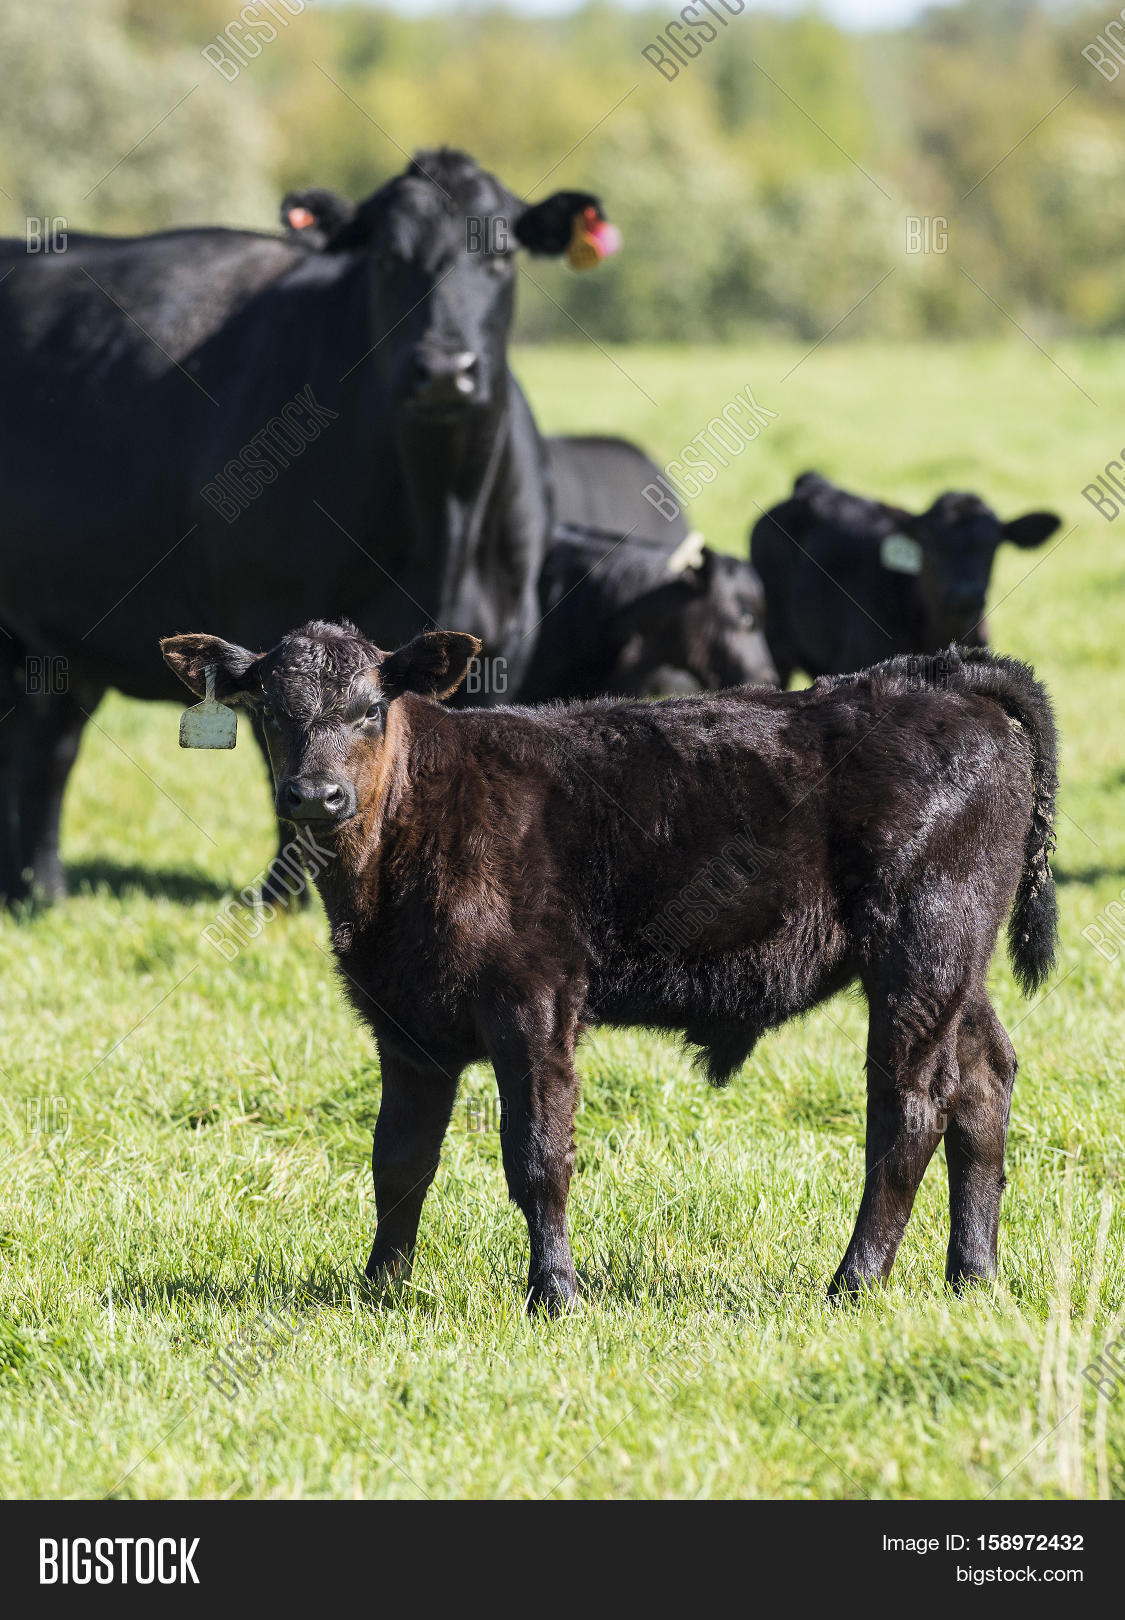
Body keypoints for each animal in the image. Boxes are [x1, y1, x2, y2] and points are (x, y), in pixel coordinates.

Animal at [0, 149, 618, 904]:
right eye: (388, 257)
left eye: (500, 256)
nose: (446, 370)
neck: (443, 517)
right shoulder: (271, 622)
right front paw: (288, 898)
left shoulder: (504, 640)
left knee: (43, 744)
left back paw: (39, 889)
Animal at [163, 618, 1058, 1315]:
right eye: (271, 712)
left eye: (370, 708)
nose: (316, 796)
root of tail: (940, 676)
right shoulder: (402, 1022)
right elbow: (400, 1158)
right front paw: (380, 1287)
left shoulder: (534, 1000)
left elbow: (537, 1157)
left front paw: (553, 1293)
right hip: (956, 967)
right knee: (983, 1081)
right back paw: (973, 1276)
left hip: (921, 945)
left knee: (908, 1108)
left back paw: (854, 1282)